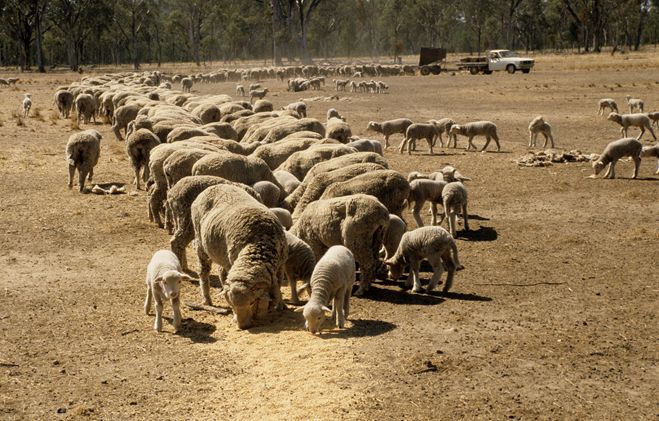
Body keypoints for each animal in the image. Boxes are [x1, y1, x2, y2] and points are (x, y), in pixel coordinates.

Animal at [192, 184, 288, 328]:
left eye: (252, 302)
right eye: (232, 305)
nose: (243, 326)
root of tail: (213, 186)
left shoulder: (280, 266)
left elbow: (279, 285)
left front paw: (280, 304)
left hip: (221, 254)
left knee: (221, 271)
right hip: (200, 242)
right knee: (203, 272)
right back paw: (206, 299)